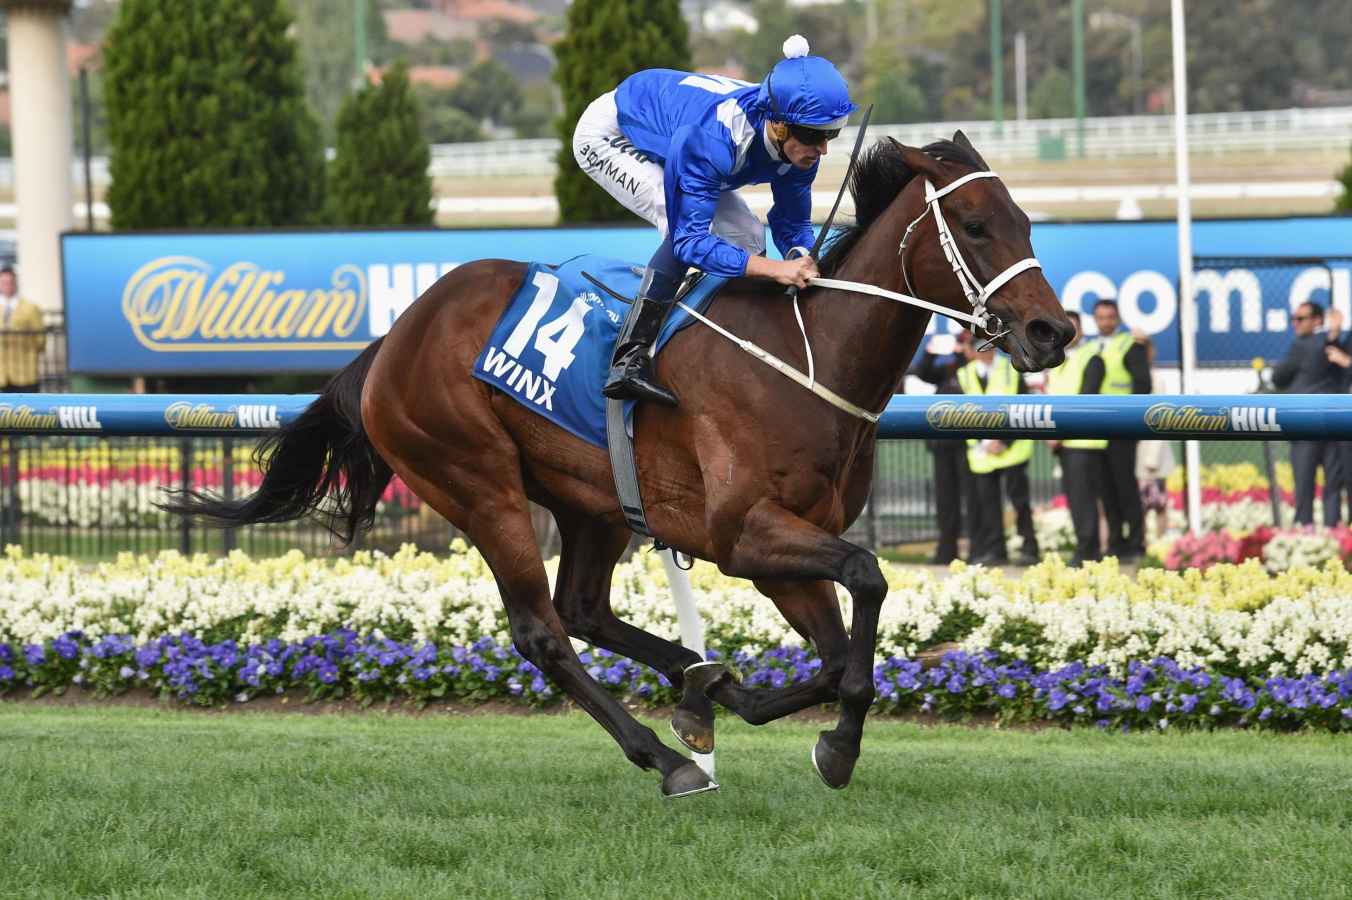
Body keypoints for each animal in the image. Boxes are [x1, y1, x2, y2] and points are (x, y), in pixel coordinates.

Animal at [166, 132, 1074, 799]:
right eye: (977, 227)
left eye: (1027, 220)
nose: (1052, 332)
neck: (807, 357)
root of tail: (393, 339)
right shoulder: (744, 535)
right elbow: (868, 582)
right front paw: (831, 747)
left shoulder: (778, 547)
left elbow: (831, 654)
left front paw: (732, 702)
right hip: (476, 482)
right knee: (544, 630)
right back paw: (666, 759)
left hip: (591, 499)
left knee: (585, 608)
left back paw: (698, 688)